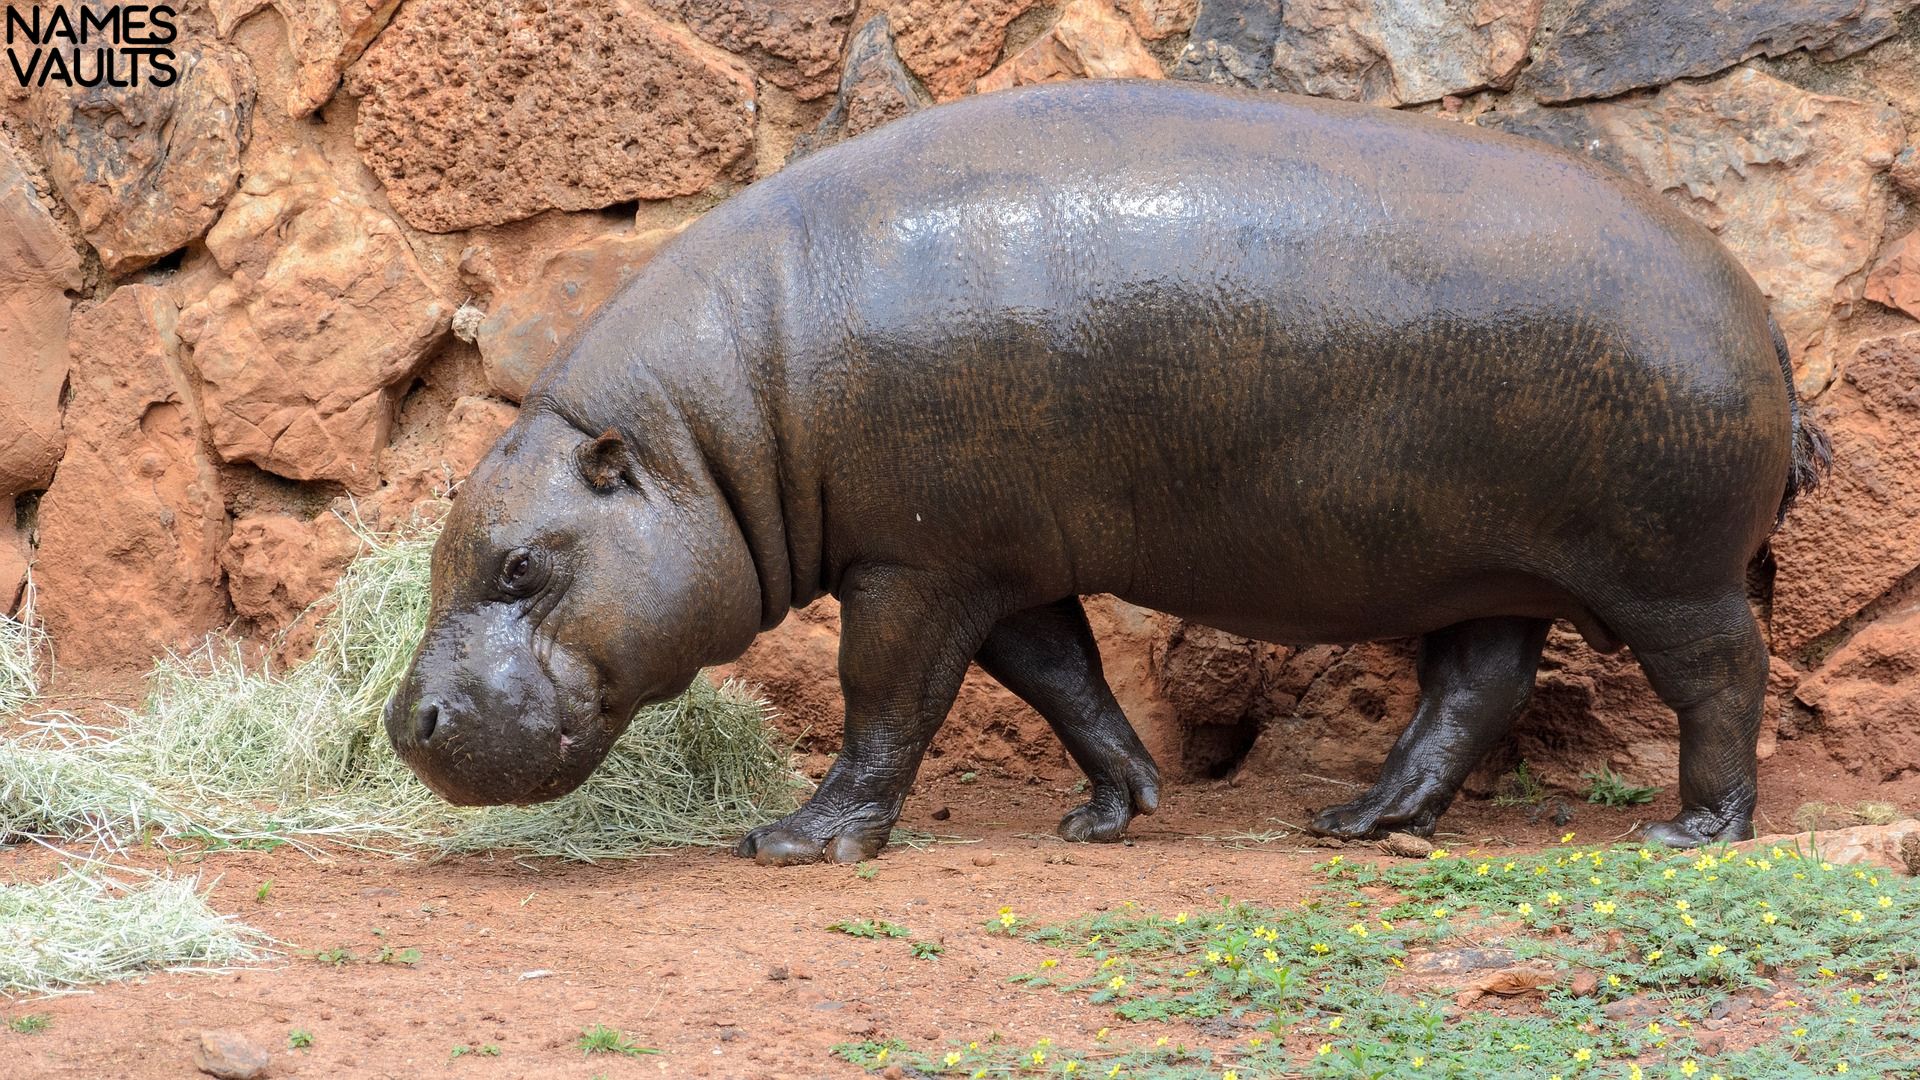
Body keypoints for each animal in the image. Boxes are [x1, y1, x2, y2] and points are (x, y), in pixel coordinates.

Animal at [384, 79, 1826, 865]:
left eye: (522, 564)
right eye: (456, 549)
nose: (408, 724)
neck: (717, 428)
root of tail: (1762, 309)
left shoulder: (914, 565)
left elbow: (885, 700)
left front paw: (793, 843)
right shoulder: (1002, 562)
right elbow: (1064, 680)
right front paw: (1115, 814)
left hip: (1666, 572)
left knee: (1722, 675)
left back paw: (1694, 832)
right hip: (1488, 570)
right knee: (1472, 689)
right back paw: (1355, 823)